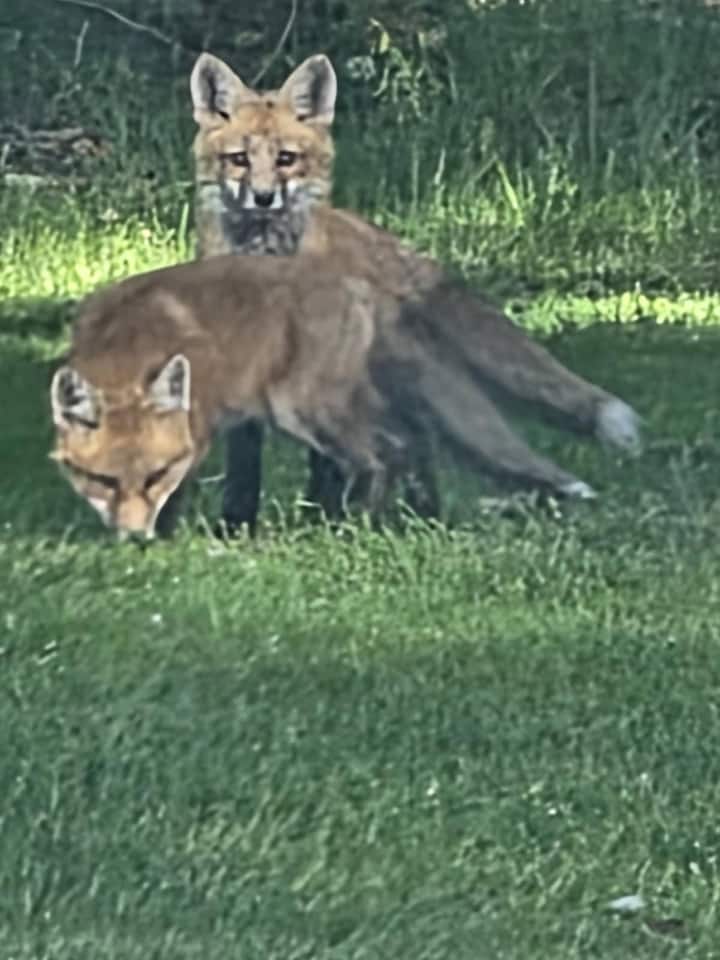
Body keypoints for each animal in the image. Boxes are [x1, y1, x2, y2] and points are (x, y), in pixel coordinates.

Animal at [49, 253, 607, 540]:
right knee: (416, 439)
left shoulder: (197, 433)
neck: (132, 342)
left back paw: (355, 526)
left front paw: (165, 536)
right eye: (103, 480)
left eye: (154, 474)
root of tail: (369, 282)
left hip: (301, 407)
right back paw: (419, 515)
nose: (133, 540)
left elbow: (178, 490)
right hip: (349, 403)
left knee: (386, 452)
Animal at [189, 52, 642, 531]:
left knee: (410, 441)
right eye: (239, 159)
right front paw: (235, 526)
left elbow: (321, 461)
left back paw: (407, 514)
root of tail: (402, 253)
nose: (262, 198)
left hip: (408, 386)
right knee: (407, 442)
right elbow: (243, 463)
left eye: (286, 159)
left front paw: (321, 517)